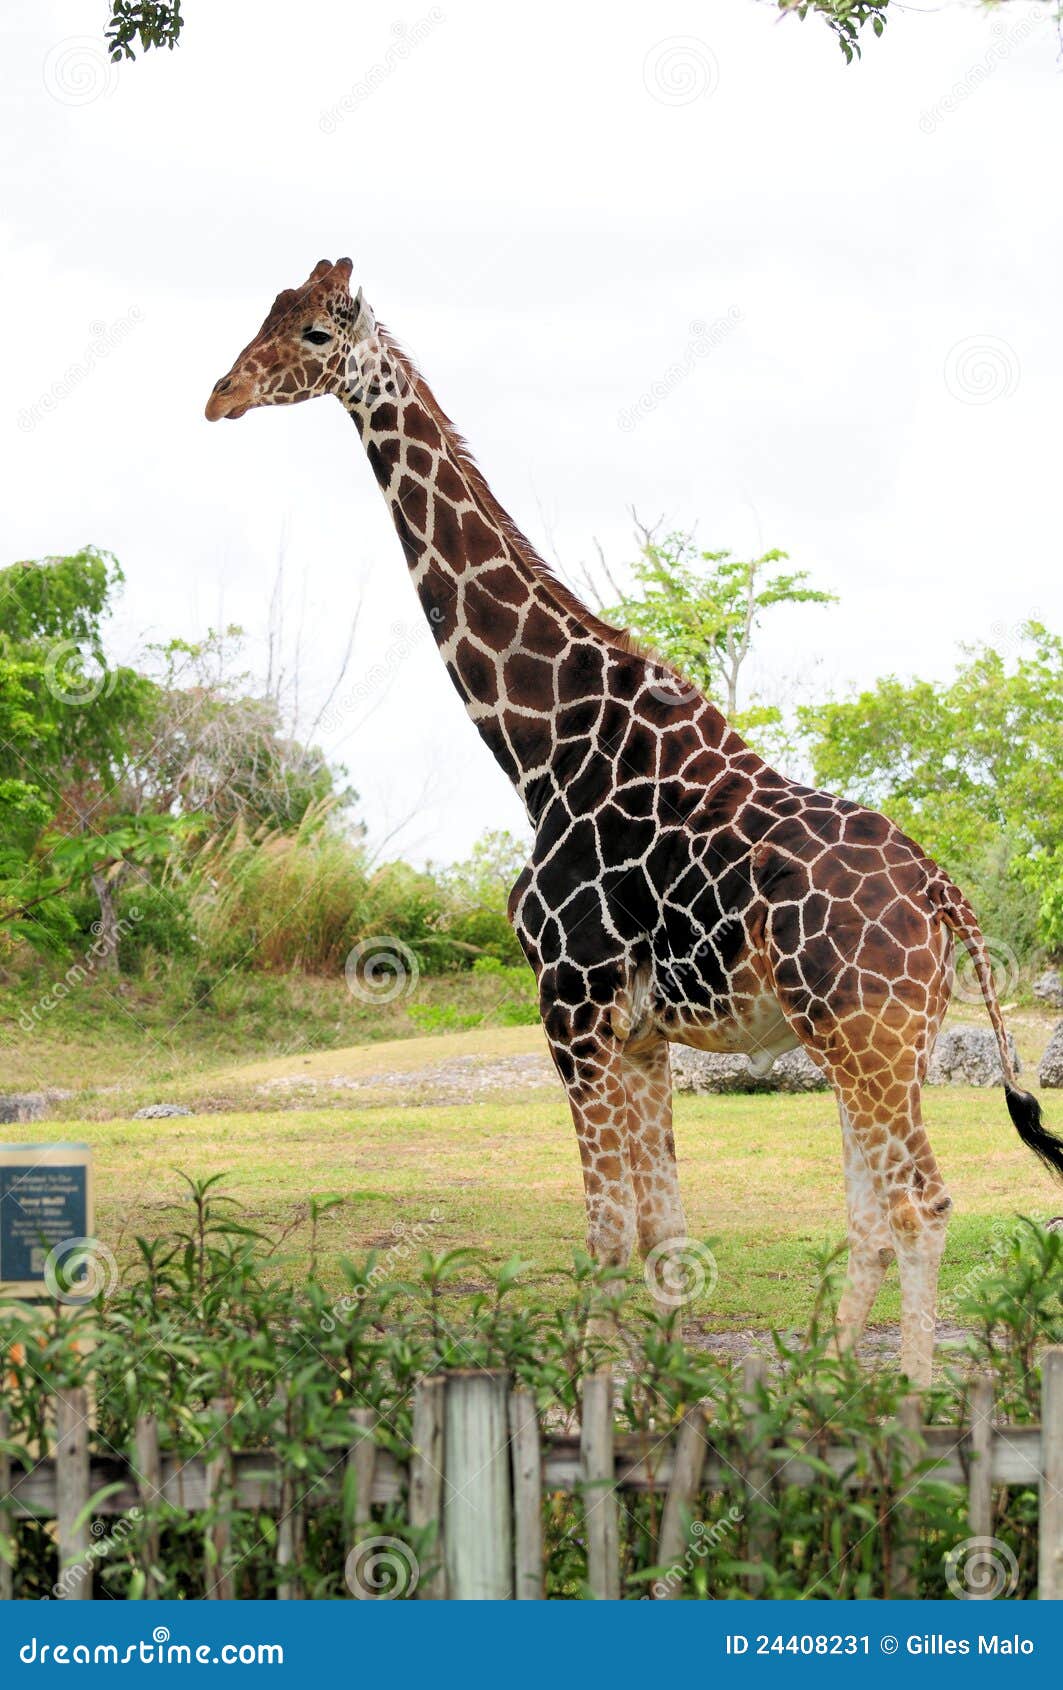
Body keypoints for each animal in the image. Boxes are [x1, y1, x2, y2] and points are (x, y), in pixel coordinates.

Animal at [205, 257, 1063, 1386]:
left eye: (311, 332)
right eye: (262, 312)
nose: (220, 395)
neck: (539, 747)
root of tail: (943, 892)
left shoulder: (568, 998)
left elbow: (607, 1233)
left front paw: (598, 1392)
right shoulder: (645, 1030)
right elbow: (666, 1234)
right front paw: (661, 1396)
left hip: (864, 1034)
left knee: (918, 1204)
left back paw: (903, 1405)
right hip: (880, 1040)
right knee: (875, 1211)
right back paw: (827, 1392)